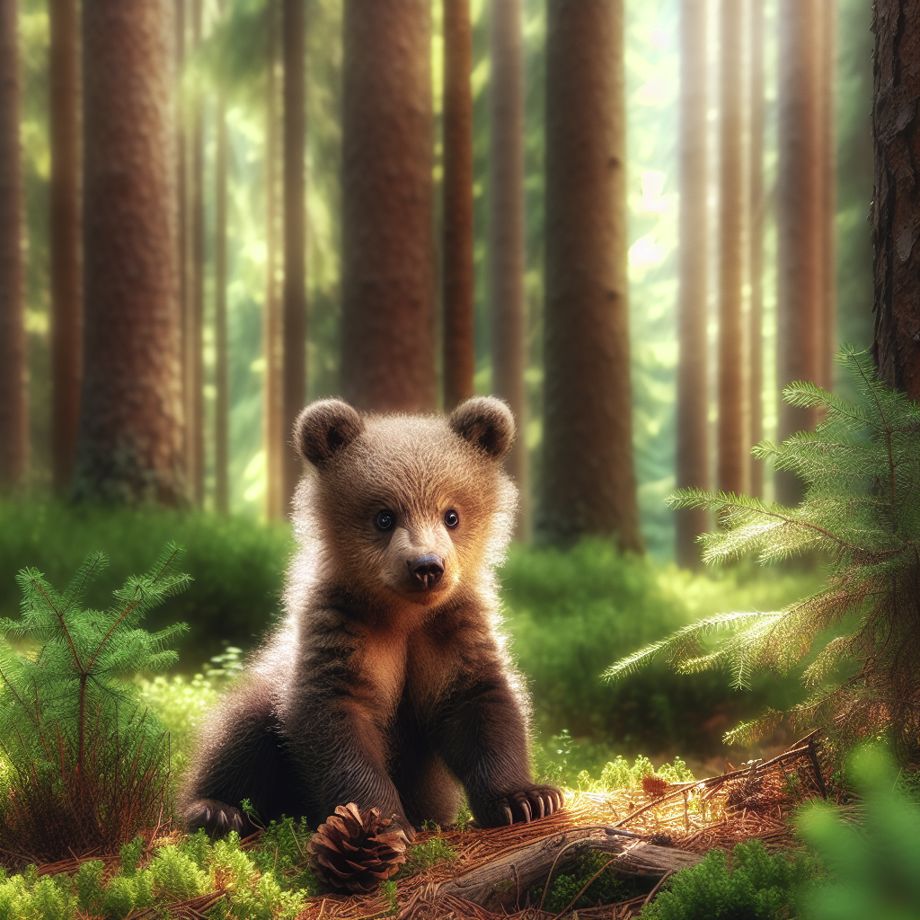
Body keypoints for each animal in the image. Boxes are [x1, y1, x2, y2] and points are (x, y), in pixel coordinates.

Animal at [181, 396, 562, 838]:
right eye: (384, 516)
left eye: (452, 514)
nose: (426, 566)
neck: (403, 616)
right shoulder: (344, 630)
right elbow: (338, 722)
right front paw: (381, 822)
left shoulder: (451, 630)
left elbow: (482, 703)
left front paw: (527, 798)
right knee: (240, 730)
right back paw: (215, 809)